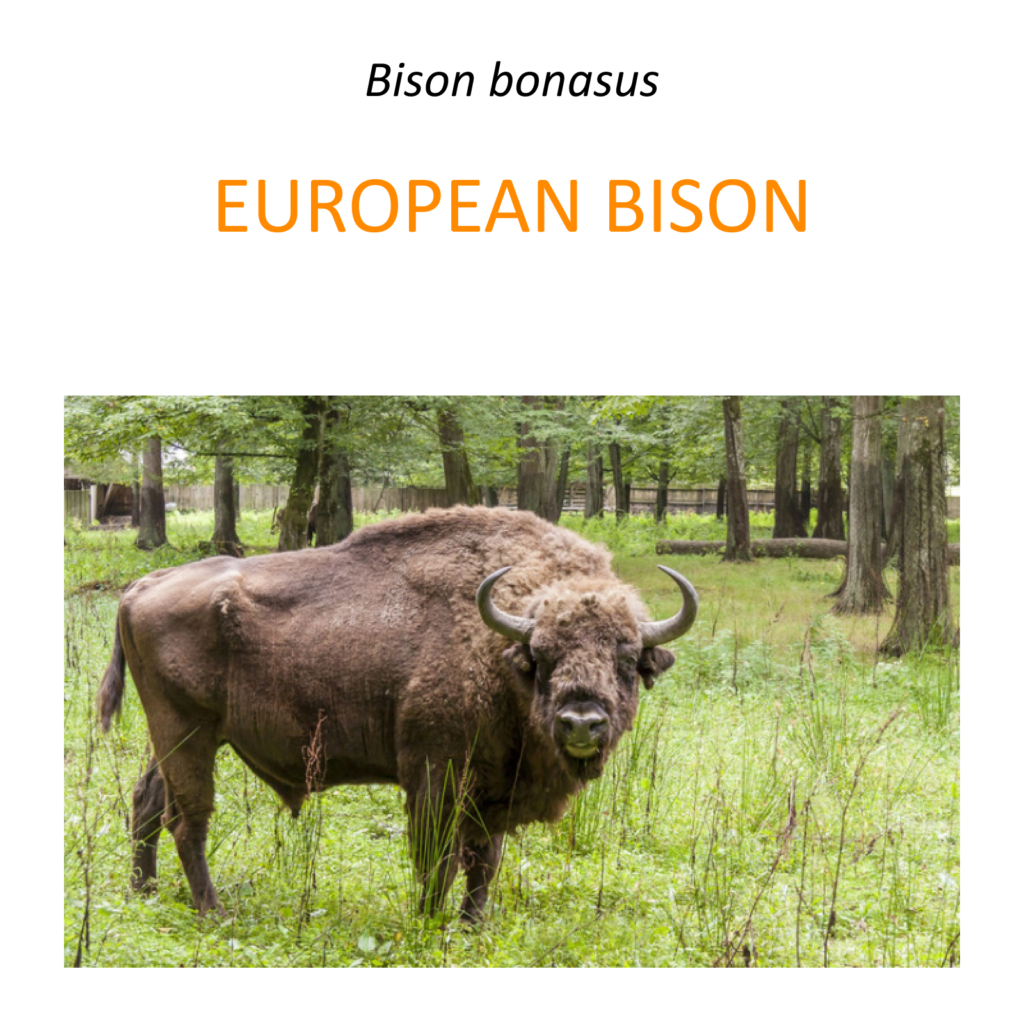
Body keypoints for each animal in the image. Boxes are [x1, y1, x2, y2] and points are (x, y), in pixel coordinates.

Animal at [98, 506, 697, 921]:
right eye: (541, 656)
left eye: (626, 658)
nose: (580, 723)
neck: (496, 647)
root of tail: (141, 586)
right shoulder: (434, 777)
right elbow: (438, 860)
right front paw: (427, 923)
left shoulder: (492, 791)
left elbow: (484, 861)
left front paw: (472, 927)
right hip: (187, 733)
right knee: (187, 820)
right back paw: (215, 913)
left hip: (180, 737)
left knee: (146, 802)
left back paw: (145, 894)